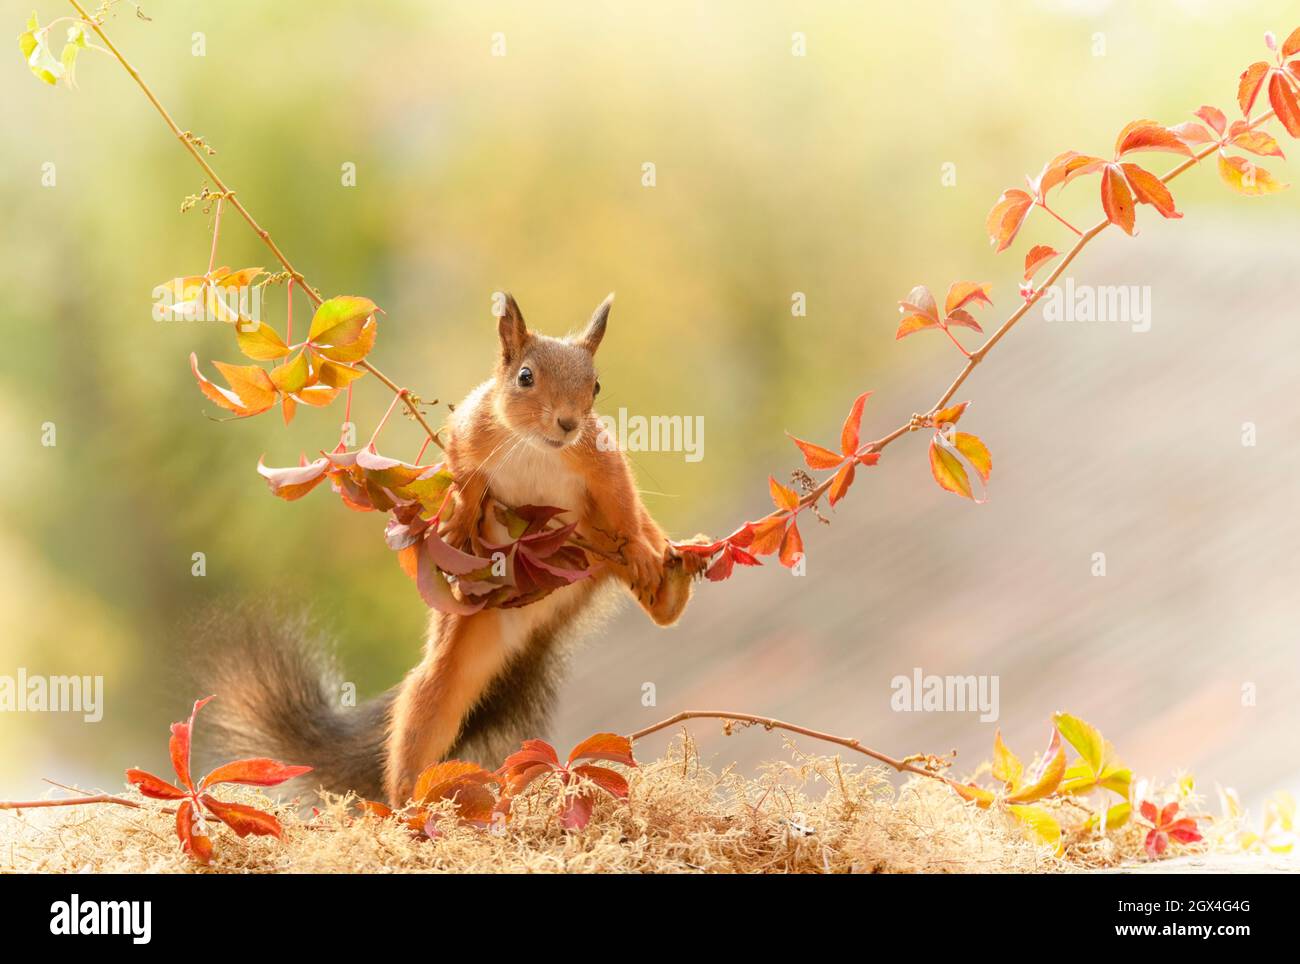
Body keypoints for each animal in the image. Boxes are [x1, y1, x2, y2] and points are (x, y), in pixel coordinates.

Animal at [193, 293, 707, 806]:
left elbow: (621, 497)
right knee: (429, 703)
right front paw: (460, 521)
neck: (534, 445)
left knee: (654, 585)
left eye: (596, 386)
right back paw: (407, 801)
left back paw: (671, 578)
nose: (567, 422)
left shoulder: (600, 458)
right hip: (455, 650)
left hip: (601, 551)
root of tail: (539, 607)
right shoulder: (466, 435)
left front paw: (637, 549)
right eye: (525, 376)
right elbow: (464, 479)